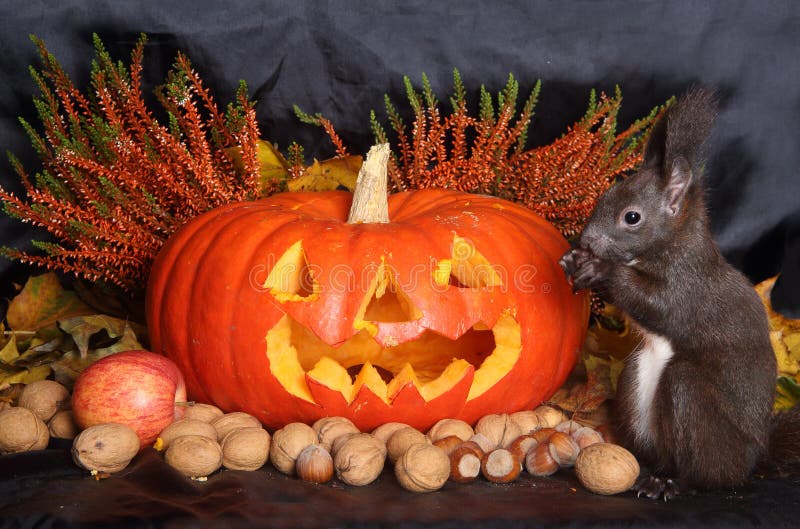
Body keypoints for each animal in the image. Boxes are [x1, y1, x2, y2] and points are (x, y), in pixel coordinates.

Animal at [559, 88, 800, 500]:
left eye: (632, 217)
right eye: (607, 193)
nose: (587, 240)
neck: (667, 247)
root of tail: (751, 464)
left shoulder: (688, 286)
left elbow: (658, 305)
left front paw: (601, 269)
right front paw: (575, 259)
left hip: (694, 406)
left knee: (702, 470)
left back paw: (673, 484)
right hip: (635, 383)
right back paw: (652, 472)